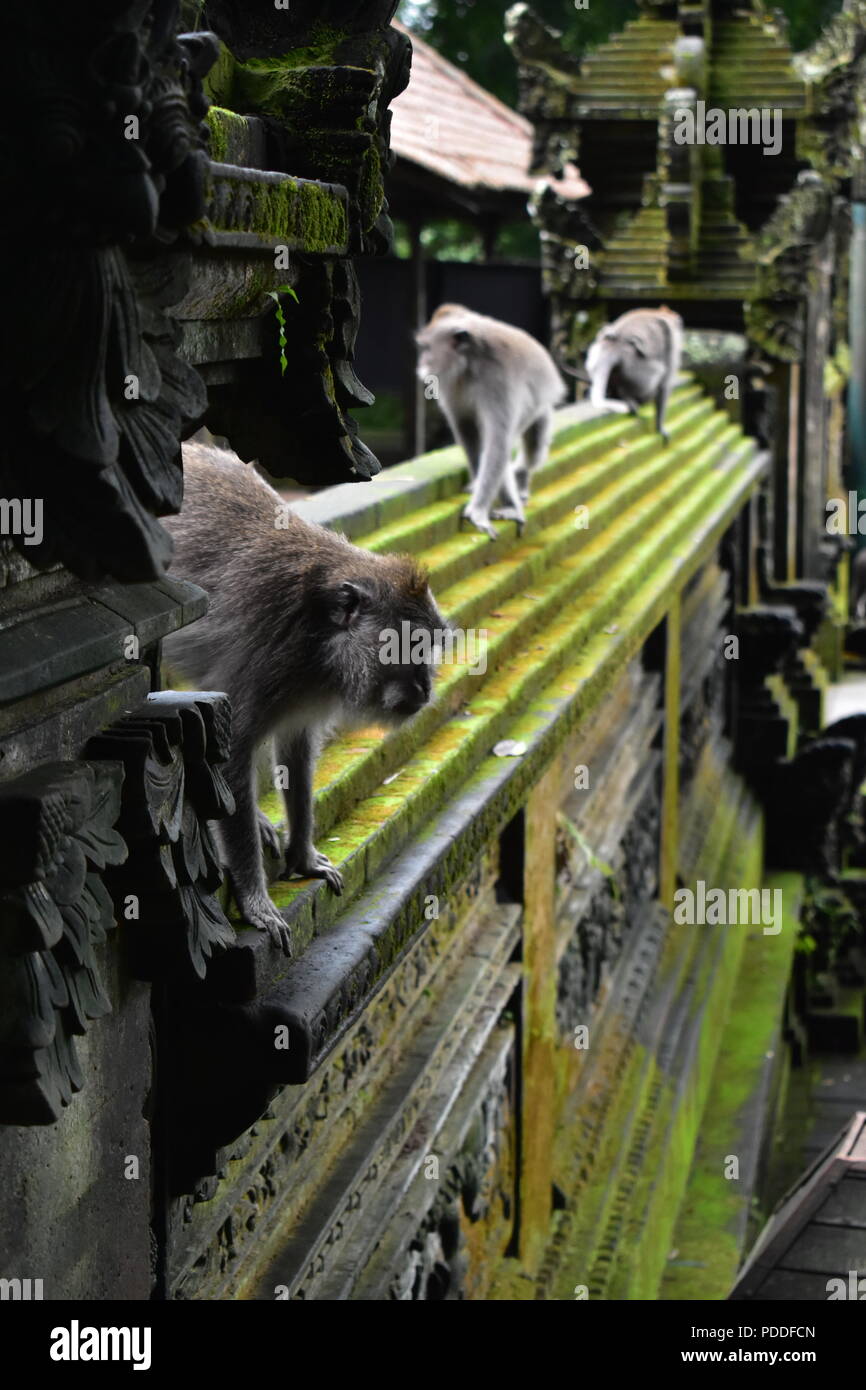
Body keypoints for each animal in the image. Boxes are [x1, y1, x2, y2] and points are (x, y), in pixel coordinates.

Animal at [162, 441, 446, 955]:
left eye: (426, 646)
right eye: (408, 646)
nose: (426, 687)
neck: (322, 639)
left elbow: (296, 749)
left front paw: (304, 856)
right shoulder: (266, 663)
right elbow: (231, 750)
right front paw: (254, 900)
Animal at [416, 303, 566, 541]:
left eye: (426, 348)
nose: (421, 364)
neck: (469, 362)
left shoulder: (497, 379)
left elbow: (497, 443)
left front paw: (478, 510)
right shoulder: (449, 382)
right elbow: (468, 433)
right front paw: (477, 484)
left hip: (539, 408)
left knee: (531, 448)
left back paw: (517, 492)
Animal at [581, 306, 684, 445]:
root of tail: (615, 349)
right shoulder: (673, 343)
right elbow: (665, 385)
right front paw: (660, 428)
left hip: (595, 352)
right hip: (636, 370)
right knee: (657, 372)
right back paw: (629, 398)